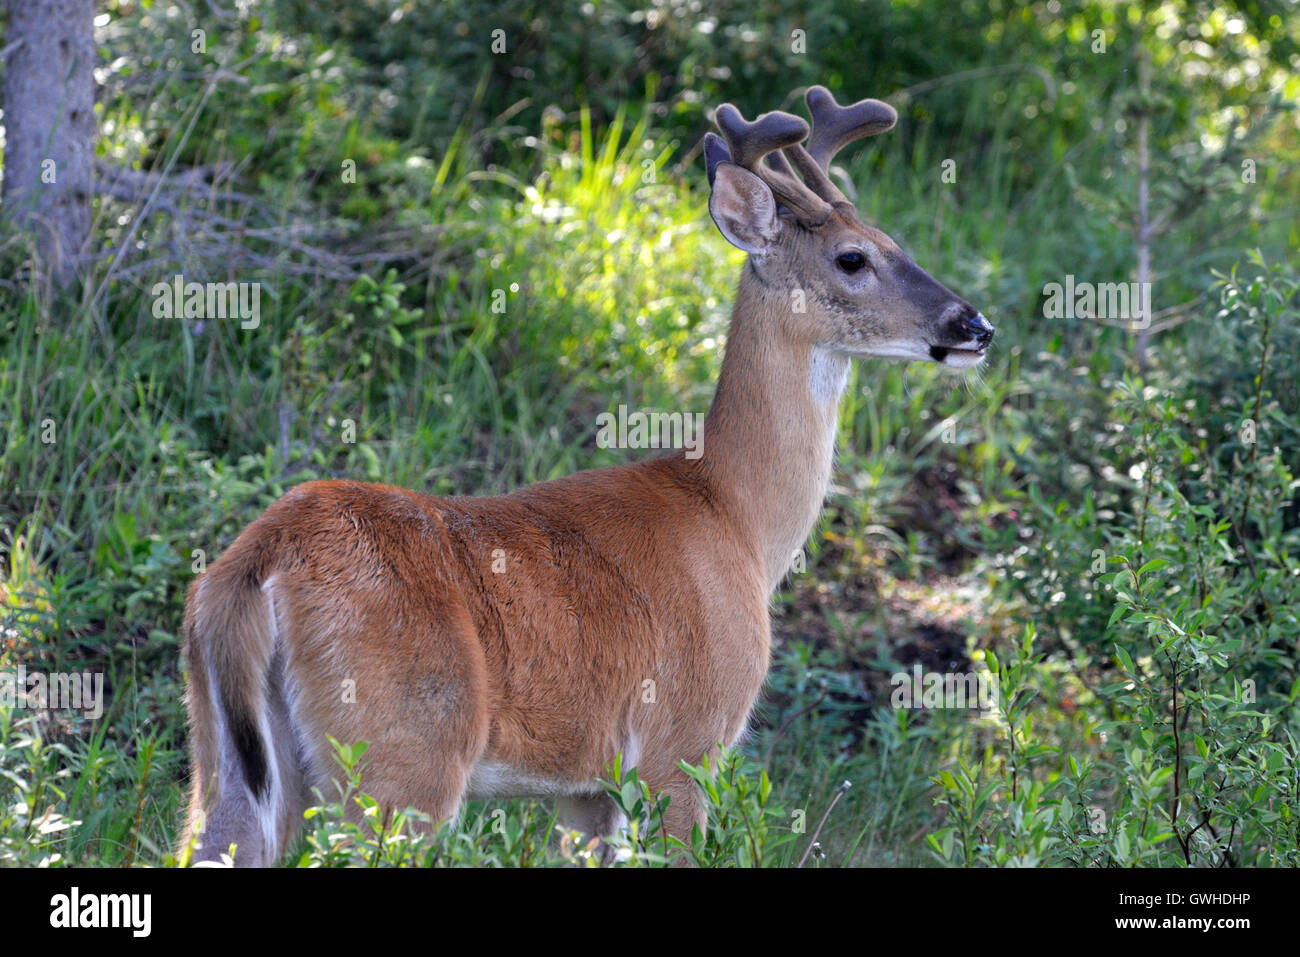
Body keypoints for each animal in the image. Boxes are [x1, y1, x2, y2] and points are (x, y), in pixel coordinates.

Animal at [180, 86, 994, 866]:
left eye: (895, 241)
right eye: (853, 258)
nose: (974, 325)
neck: (737, 517)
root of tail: (260, 562)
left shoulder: (586, 787)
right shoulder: (682, 745)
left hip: (224, 757)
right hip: (398, 756)